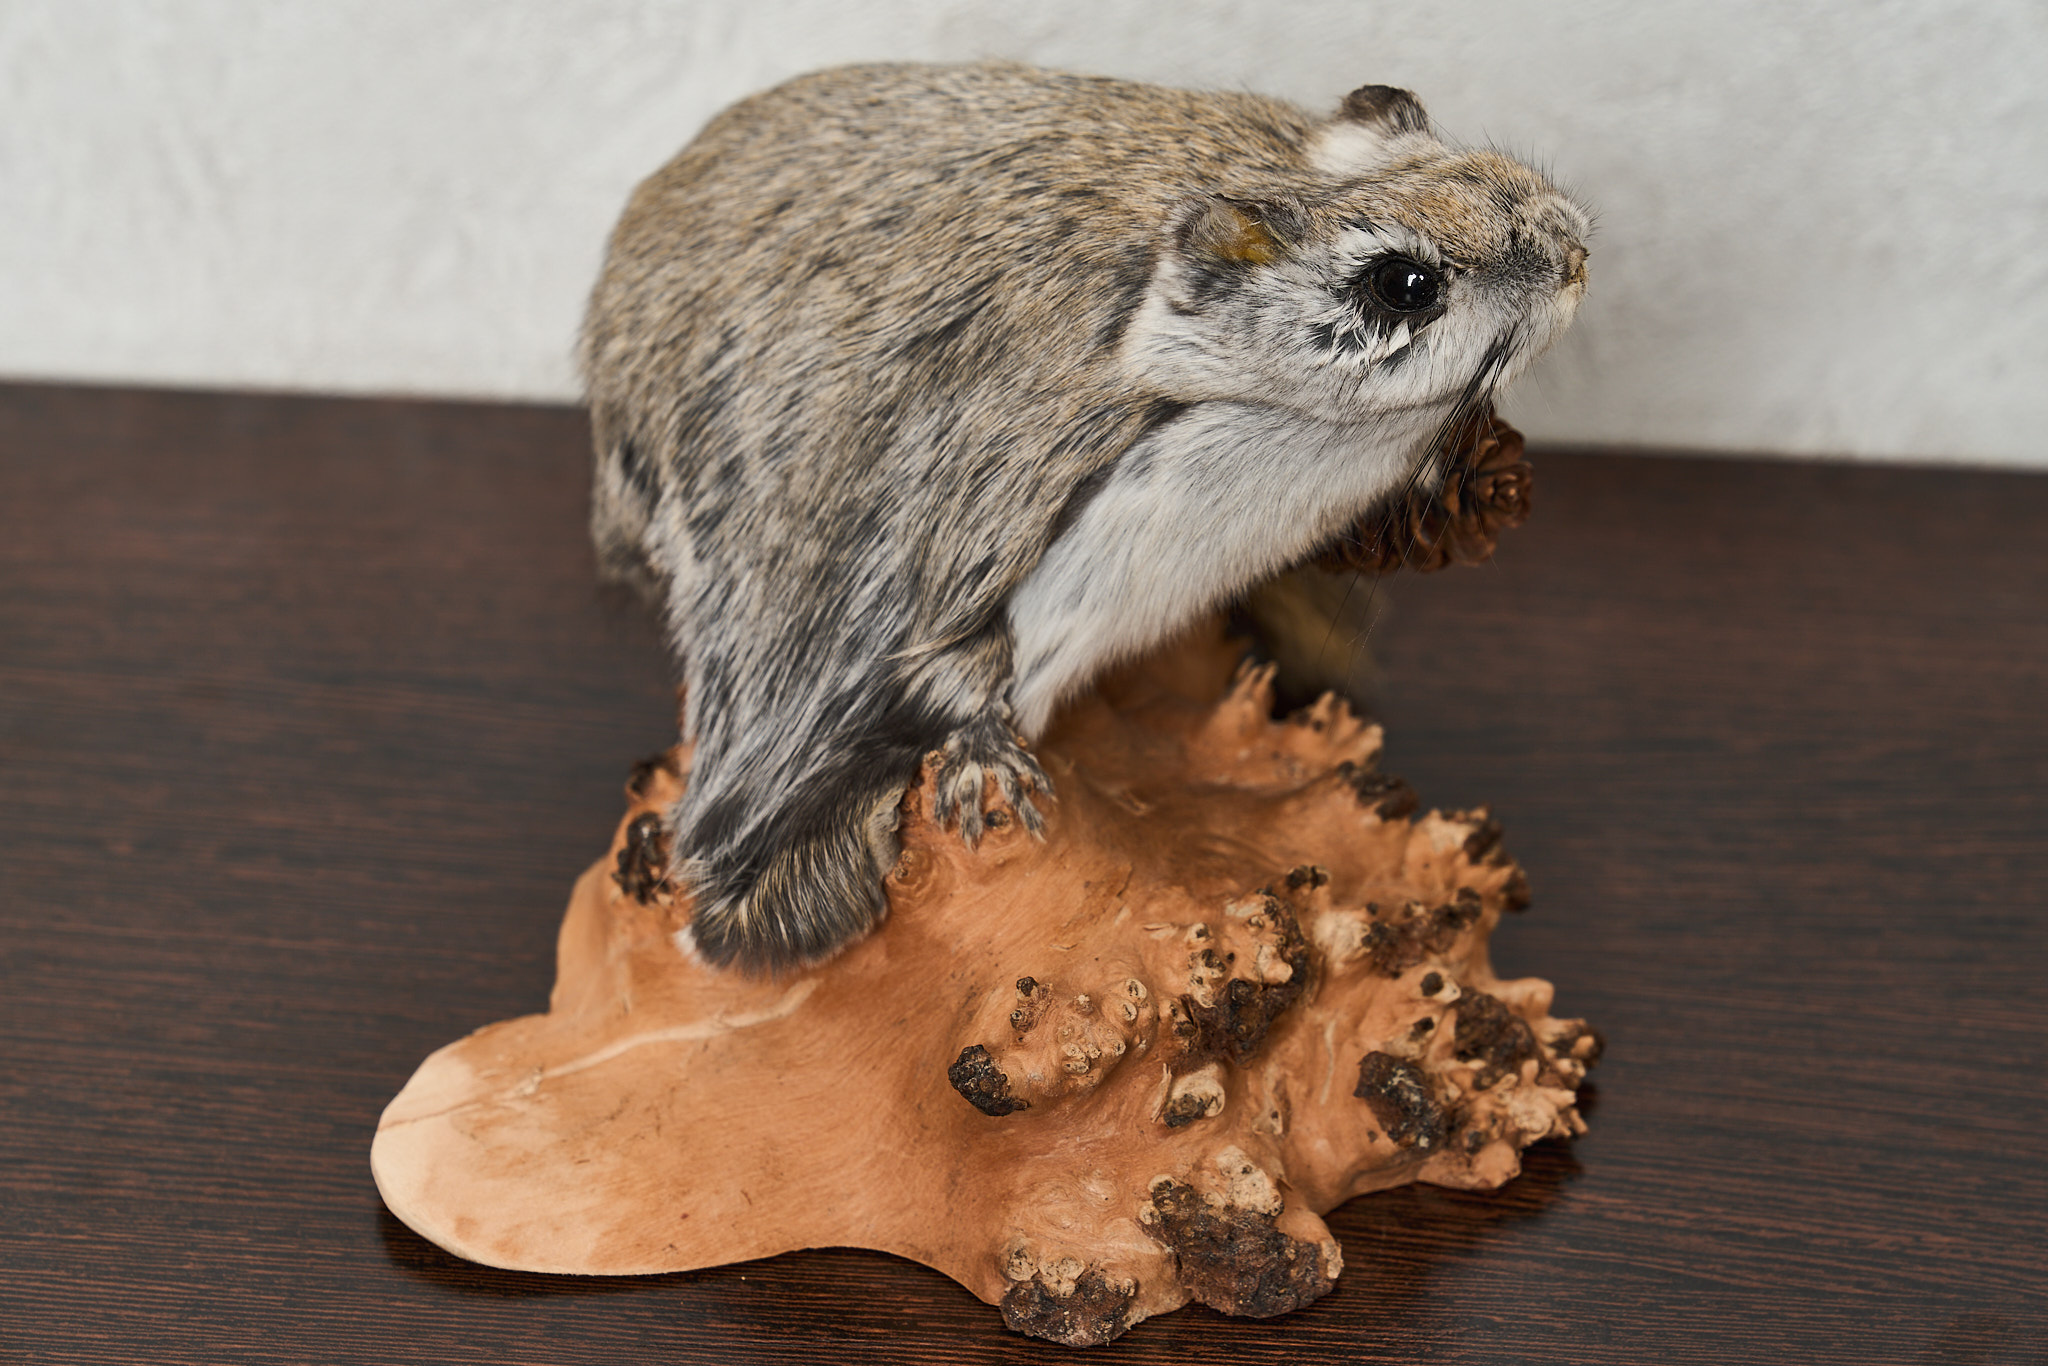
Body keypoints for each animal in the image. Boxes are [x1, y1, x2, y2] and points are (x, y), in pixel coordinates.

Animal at [579, 61, 1590, 972]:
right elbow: (948, 671)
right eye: (1403, 282)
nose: (1577, 249)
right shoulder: (973, 510)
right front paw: (985, 767)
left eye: (1477, 160)